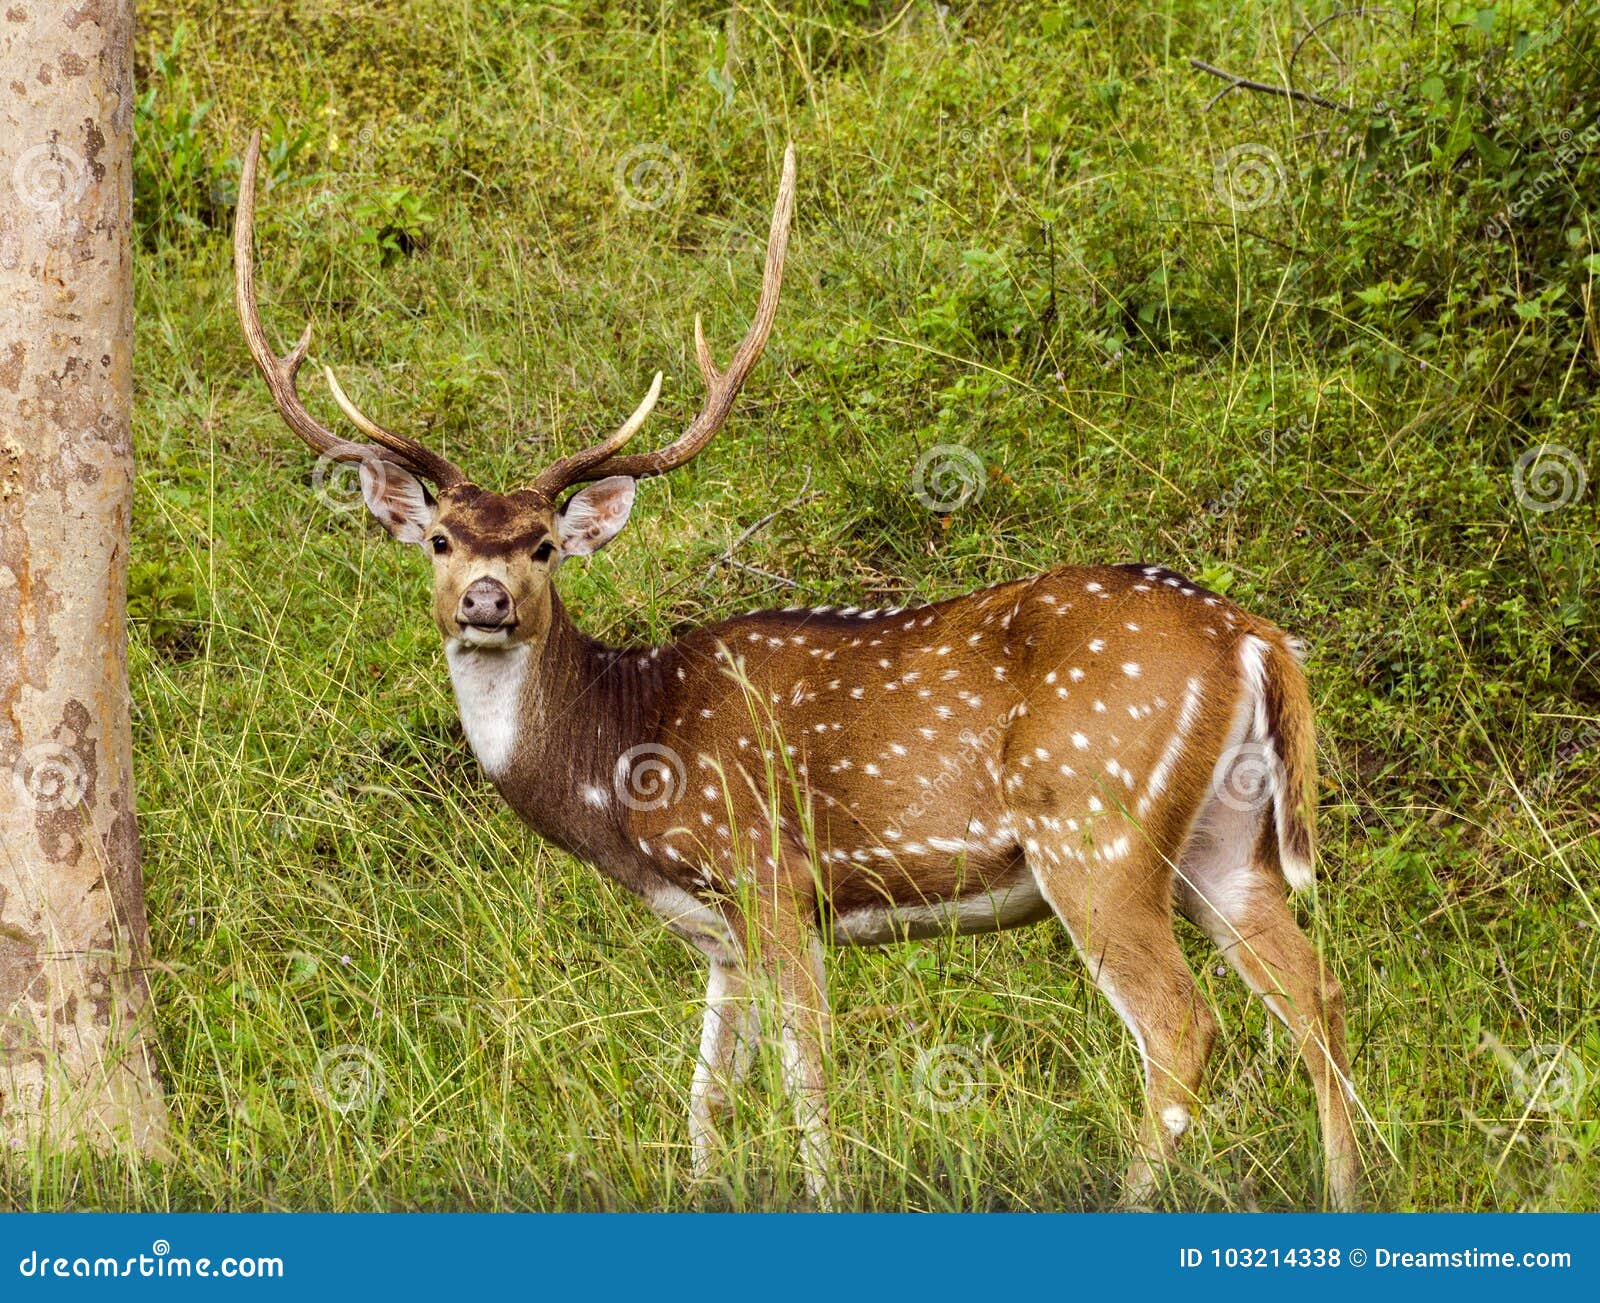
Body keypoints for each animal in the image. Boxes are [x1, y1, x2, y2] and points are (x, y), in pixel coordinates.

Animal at [233, 129, 1359, 1209]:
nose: (485, 599)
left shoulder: (771, 876)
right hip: (1226, 837)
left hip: (1094, 820)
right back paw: (1351, 1188)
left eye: (543, 547)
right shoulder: (717, 933)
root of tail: (1257, 639)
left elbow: (806, 1078)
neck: (621, 760)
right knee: (1315, 989)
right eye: (439, 540)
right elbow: (707, 1096)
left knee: (1181, 1024)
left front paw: (825, 1191)